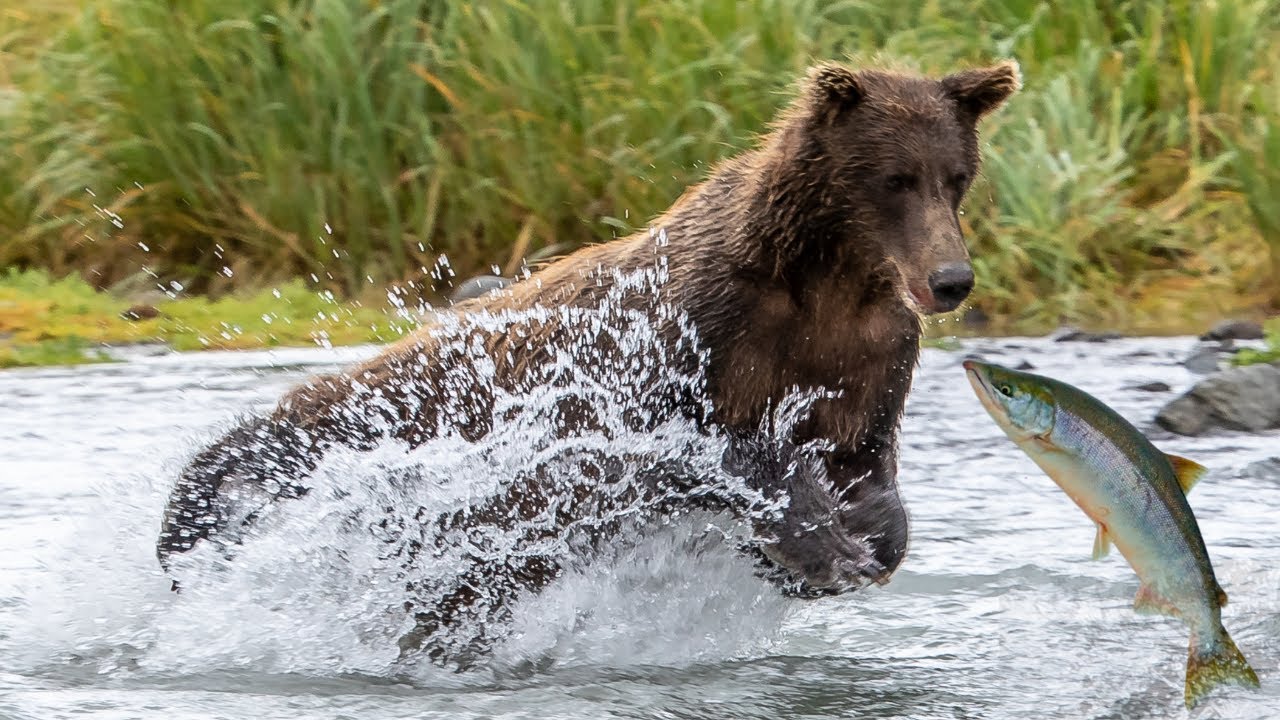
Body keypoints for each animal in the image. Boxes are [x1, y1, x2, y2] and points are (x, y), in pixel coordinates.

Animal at [156, 59, 1020, 665]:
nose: (950, 279)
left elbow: (865, 464)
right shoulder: (694, 332)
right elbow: (701, 444)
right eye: (895, 177)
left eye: (956, 175)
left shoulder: (869, 349)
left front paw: (847, 547)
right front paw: (816, 539)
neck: (823, 274)